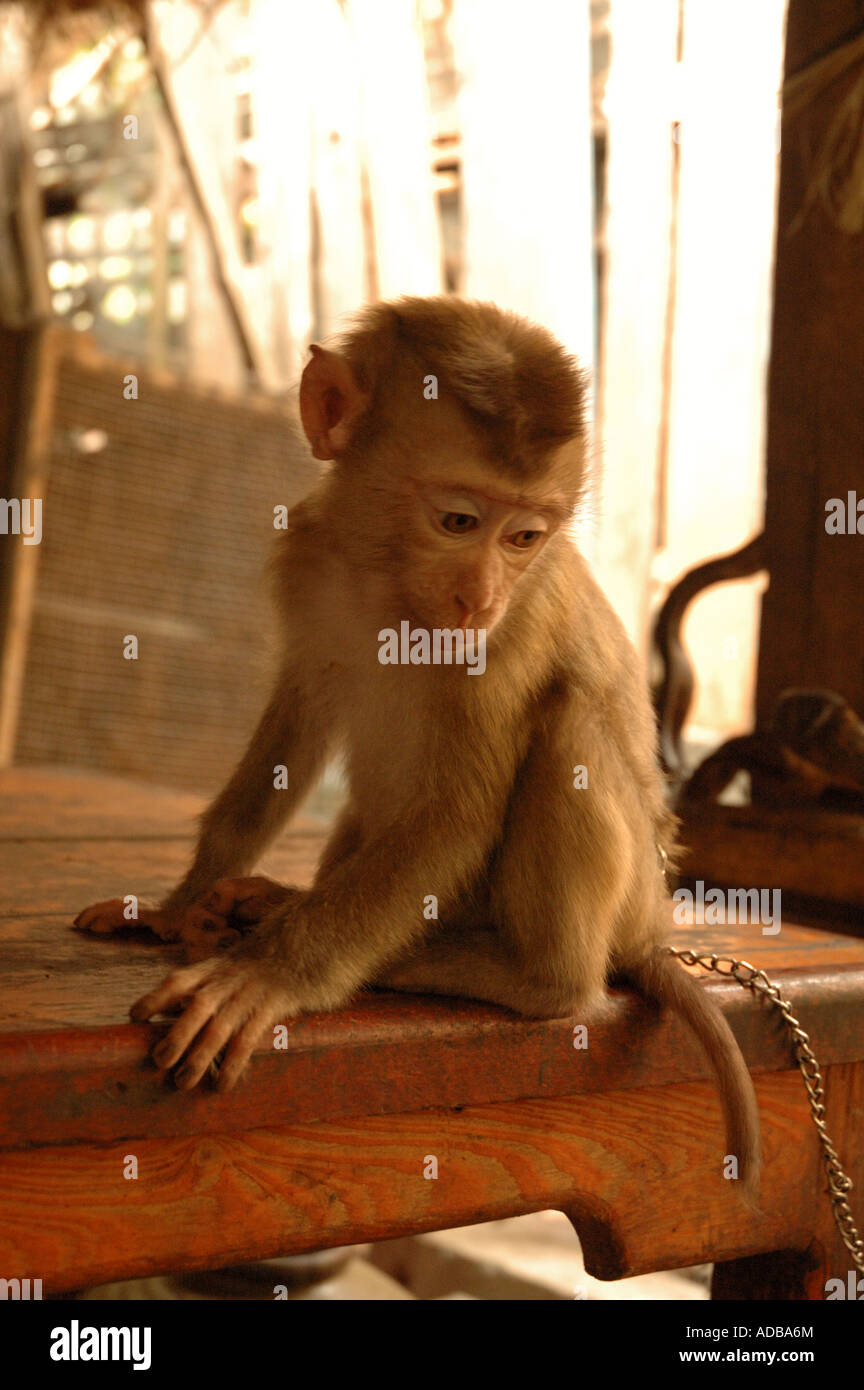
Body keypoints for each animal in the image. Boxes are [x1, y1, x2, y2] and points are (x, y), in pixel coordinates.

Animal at [75, 295, 760, 1200]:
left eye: (525, 538)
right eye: (459, 522)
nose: (480, 597)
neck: (385, 584)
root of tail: (652, 927)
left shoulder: (508, 634)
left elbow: (456, 819)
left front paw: (269, 975)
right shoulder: (311, 560)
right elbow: (296, 723)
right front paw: (179, 902)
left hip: (617, 901)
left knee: (568, 727)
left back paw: (512, 976)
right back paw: (275, 899)